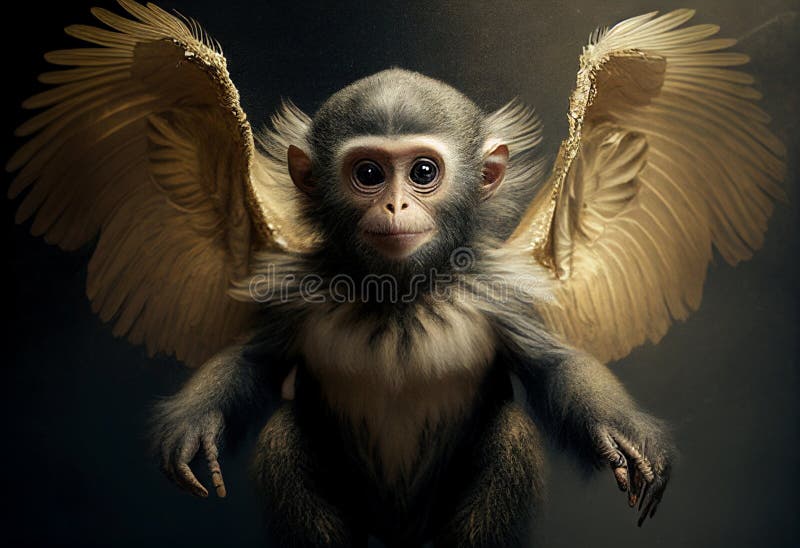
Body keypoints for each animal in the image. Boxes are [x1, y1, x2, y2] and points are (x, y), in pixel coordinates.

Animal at [8, 3, 783, 548]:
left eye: (425, 171)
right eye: (369, 173)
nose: (396, 203)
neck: (401, 293)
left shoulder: (499, 290)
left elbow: (556, 368)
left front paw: (625, 436)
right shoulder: (296, 286)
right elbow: (253, 363)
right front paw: (193, 425)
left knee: (509, 441)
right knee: (285, 443)